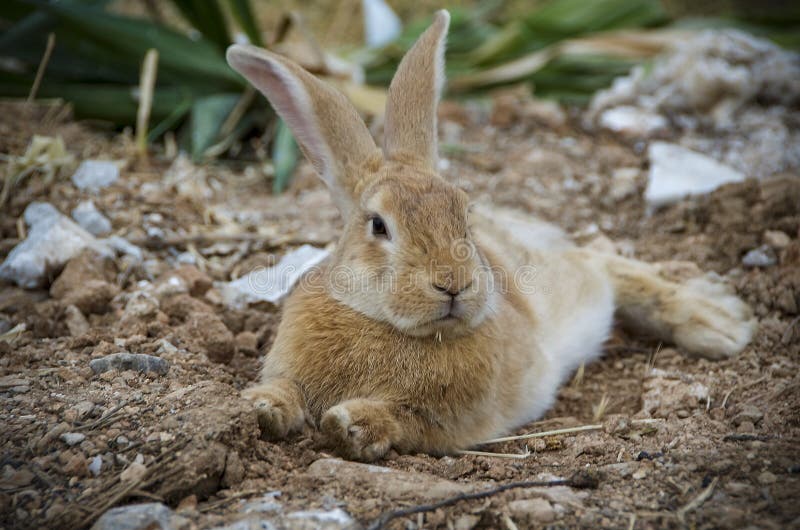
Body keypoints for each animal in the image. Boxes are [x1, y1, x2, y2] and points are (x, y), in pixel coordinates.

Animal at [225, 10, 757, 462]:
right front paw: (261, 408)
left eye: (465, 214)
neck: (388, 324)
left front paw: (350, 423)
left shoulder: (452, 418)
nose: (453, 284)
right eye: (378, 225)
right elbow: (285, 389)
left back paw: (718, 322)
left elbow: (405, 419)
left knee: (603, 263)